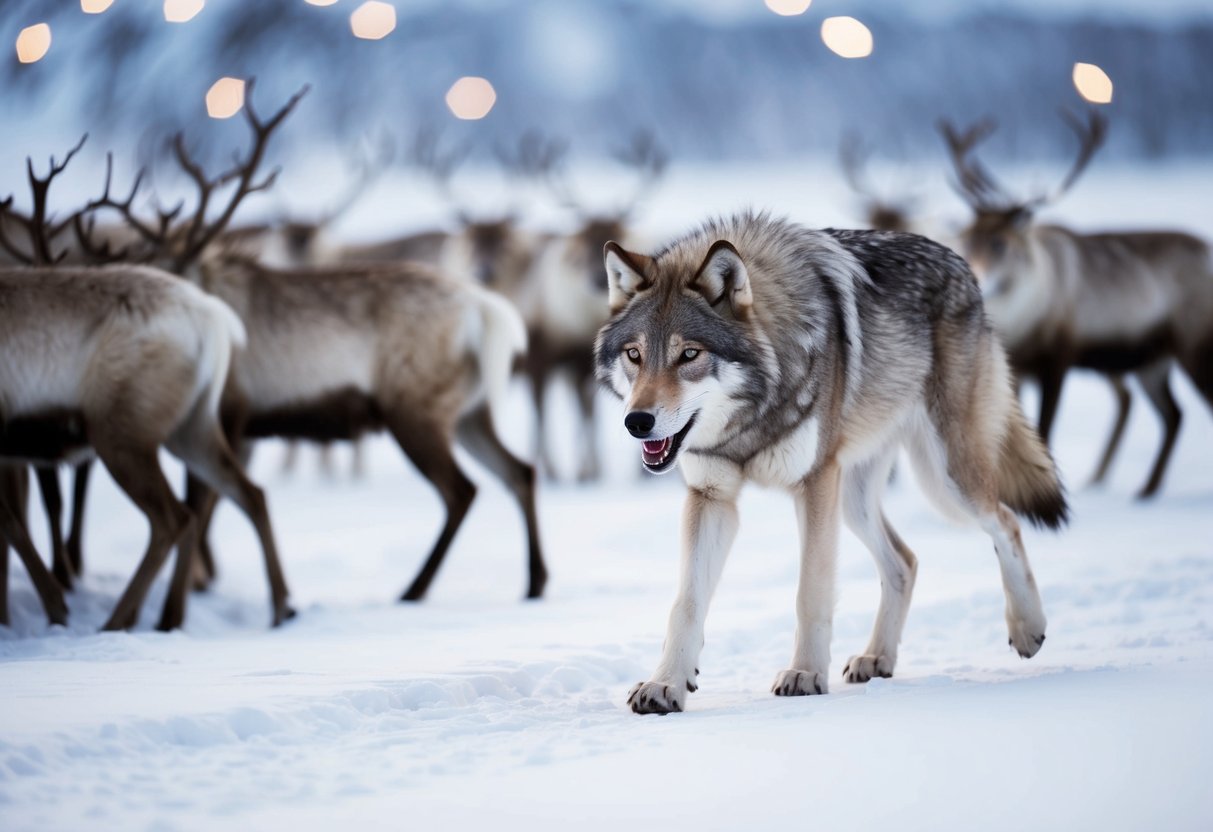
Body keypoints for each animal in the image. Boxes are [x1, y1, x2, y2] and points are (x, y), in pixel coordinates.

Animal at [595, 212, 1068, 714]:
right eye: (634, 355)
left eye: (689, 355)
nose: (637, 422)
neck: (752, 418)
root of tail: (962, 265)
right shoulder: (712, 498)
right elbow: (685, 604)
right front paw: (665, 684)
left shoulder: (815, 484)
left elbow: (810, 591)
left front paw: (804, 674)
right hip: (855, 502)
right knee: (905, 561)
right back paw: (876, 658)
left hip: (944, 481)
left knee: (1007, 521)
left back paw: (1028, 629)